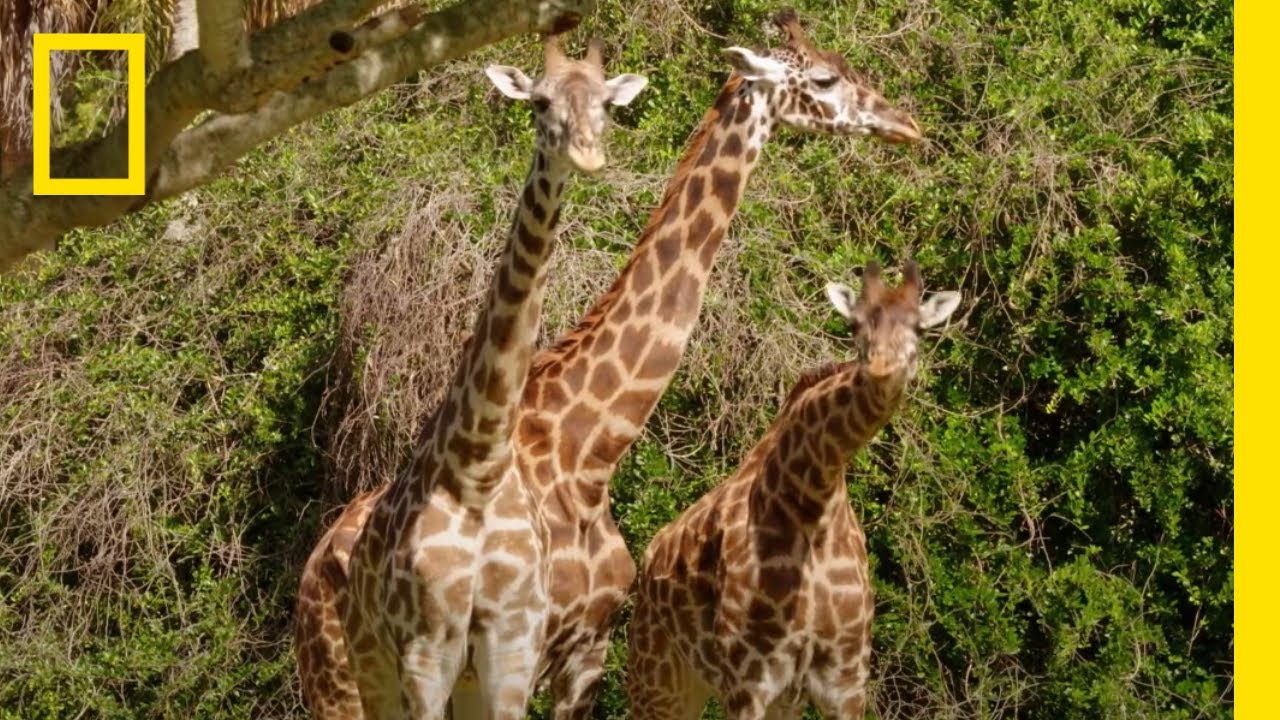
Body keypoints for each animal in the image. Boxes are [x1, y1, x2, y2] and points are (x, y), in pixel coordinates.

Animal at [293, 35, 648, 720]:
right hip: (363, 668)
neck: (476, 472)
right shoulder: (426, 650)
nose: (587, 154)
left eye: (605, 105)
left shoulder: (510, 648)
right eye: (539, 102)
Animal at [624, 260, 961, 720]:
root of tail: (649, 556)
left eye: (920, 328)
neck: (813, 503)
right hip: (658, 680)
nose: (881, 367)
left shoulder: (843, 683)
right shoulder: (750, 680)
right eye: (855, 325)